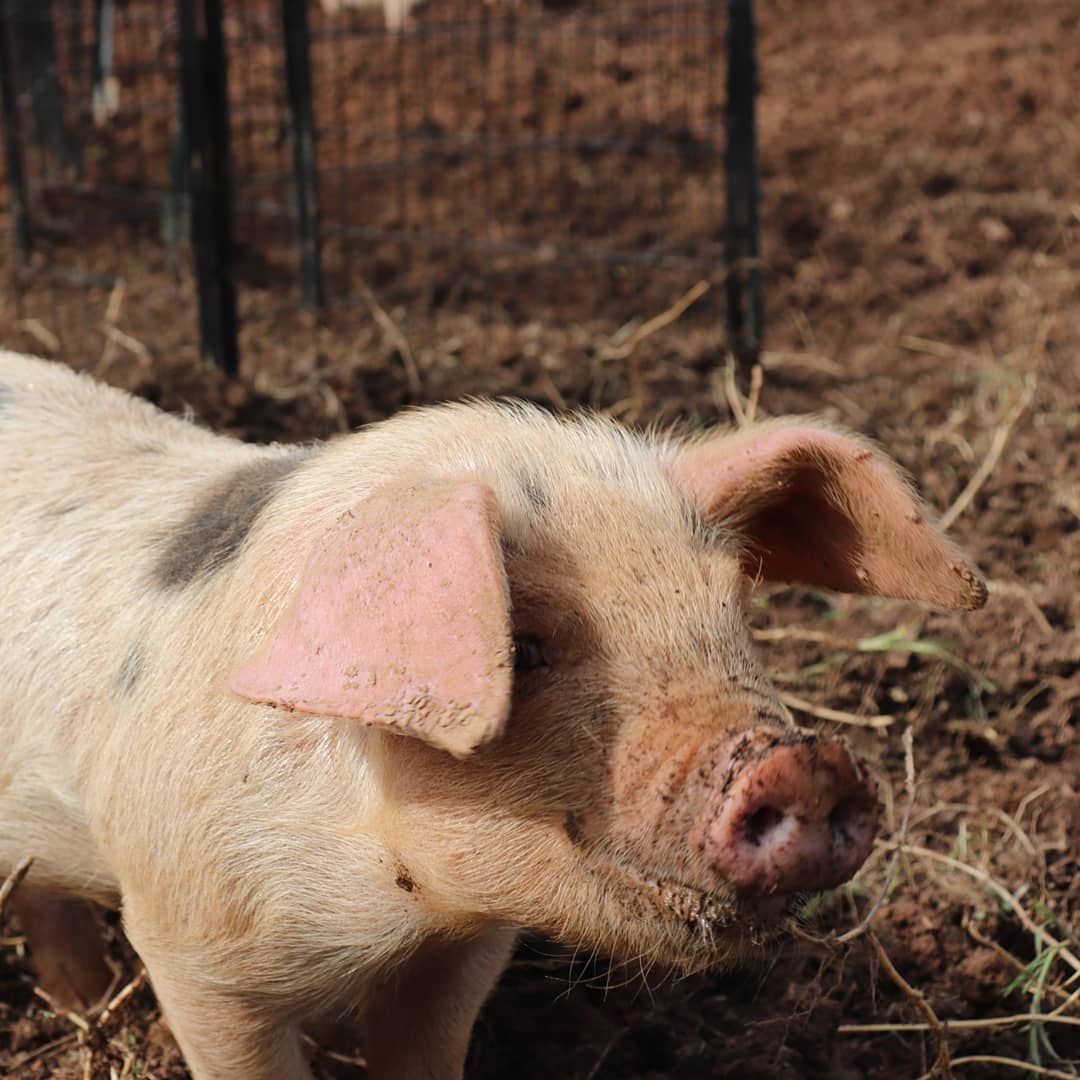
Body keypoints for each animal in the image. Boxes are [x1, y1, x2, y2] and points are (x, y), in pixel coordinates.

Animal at [0, 350, 986, 1079]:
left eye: (733, 612)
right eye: (521, 647)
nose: (804, 765)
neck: (381, 905)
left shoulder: (466, 945)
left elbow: (425, 1049)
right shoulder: (191, 939)